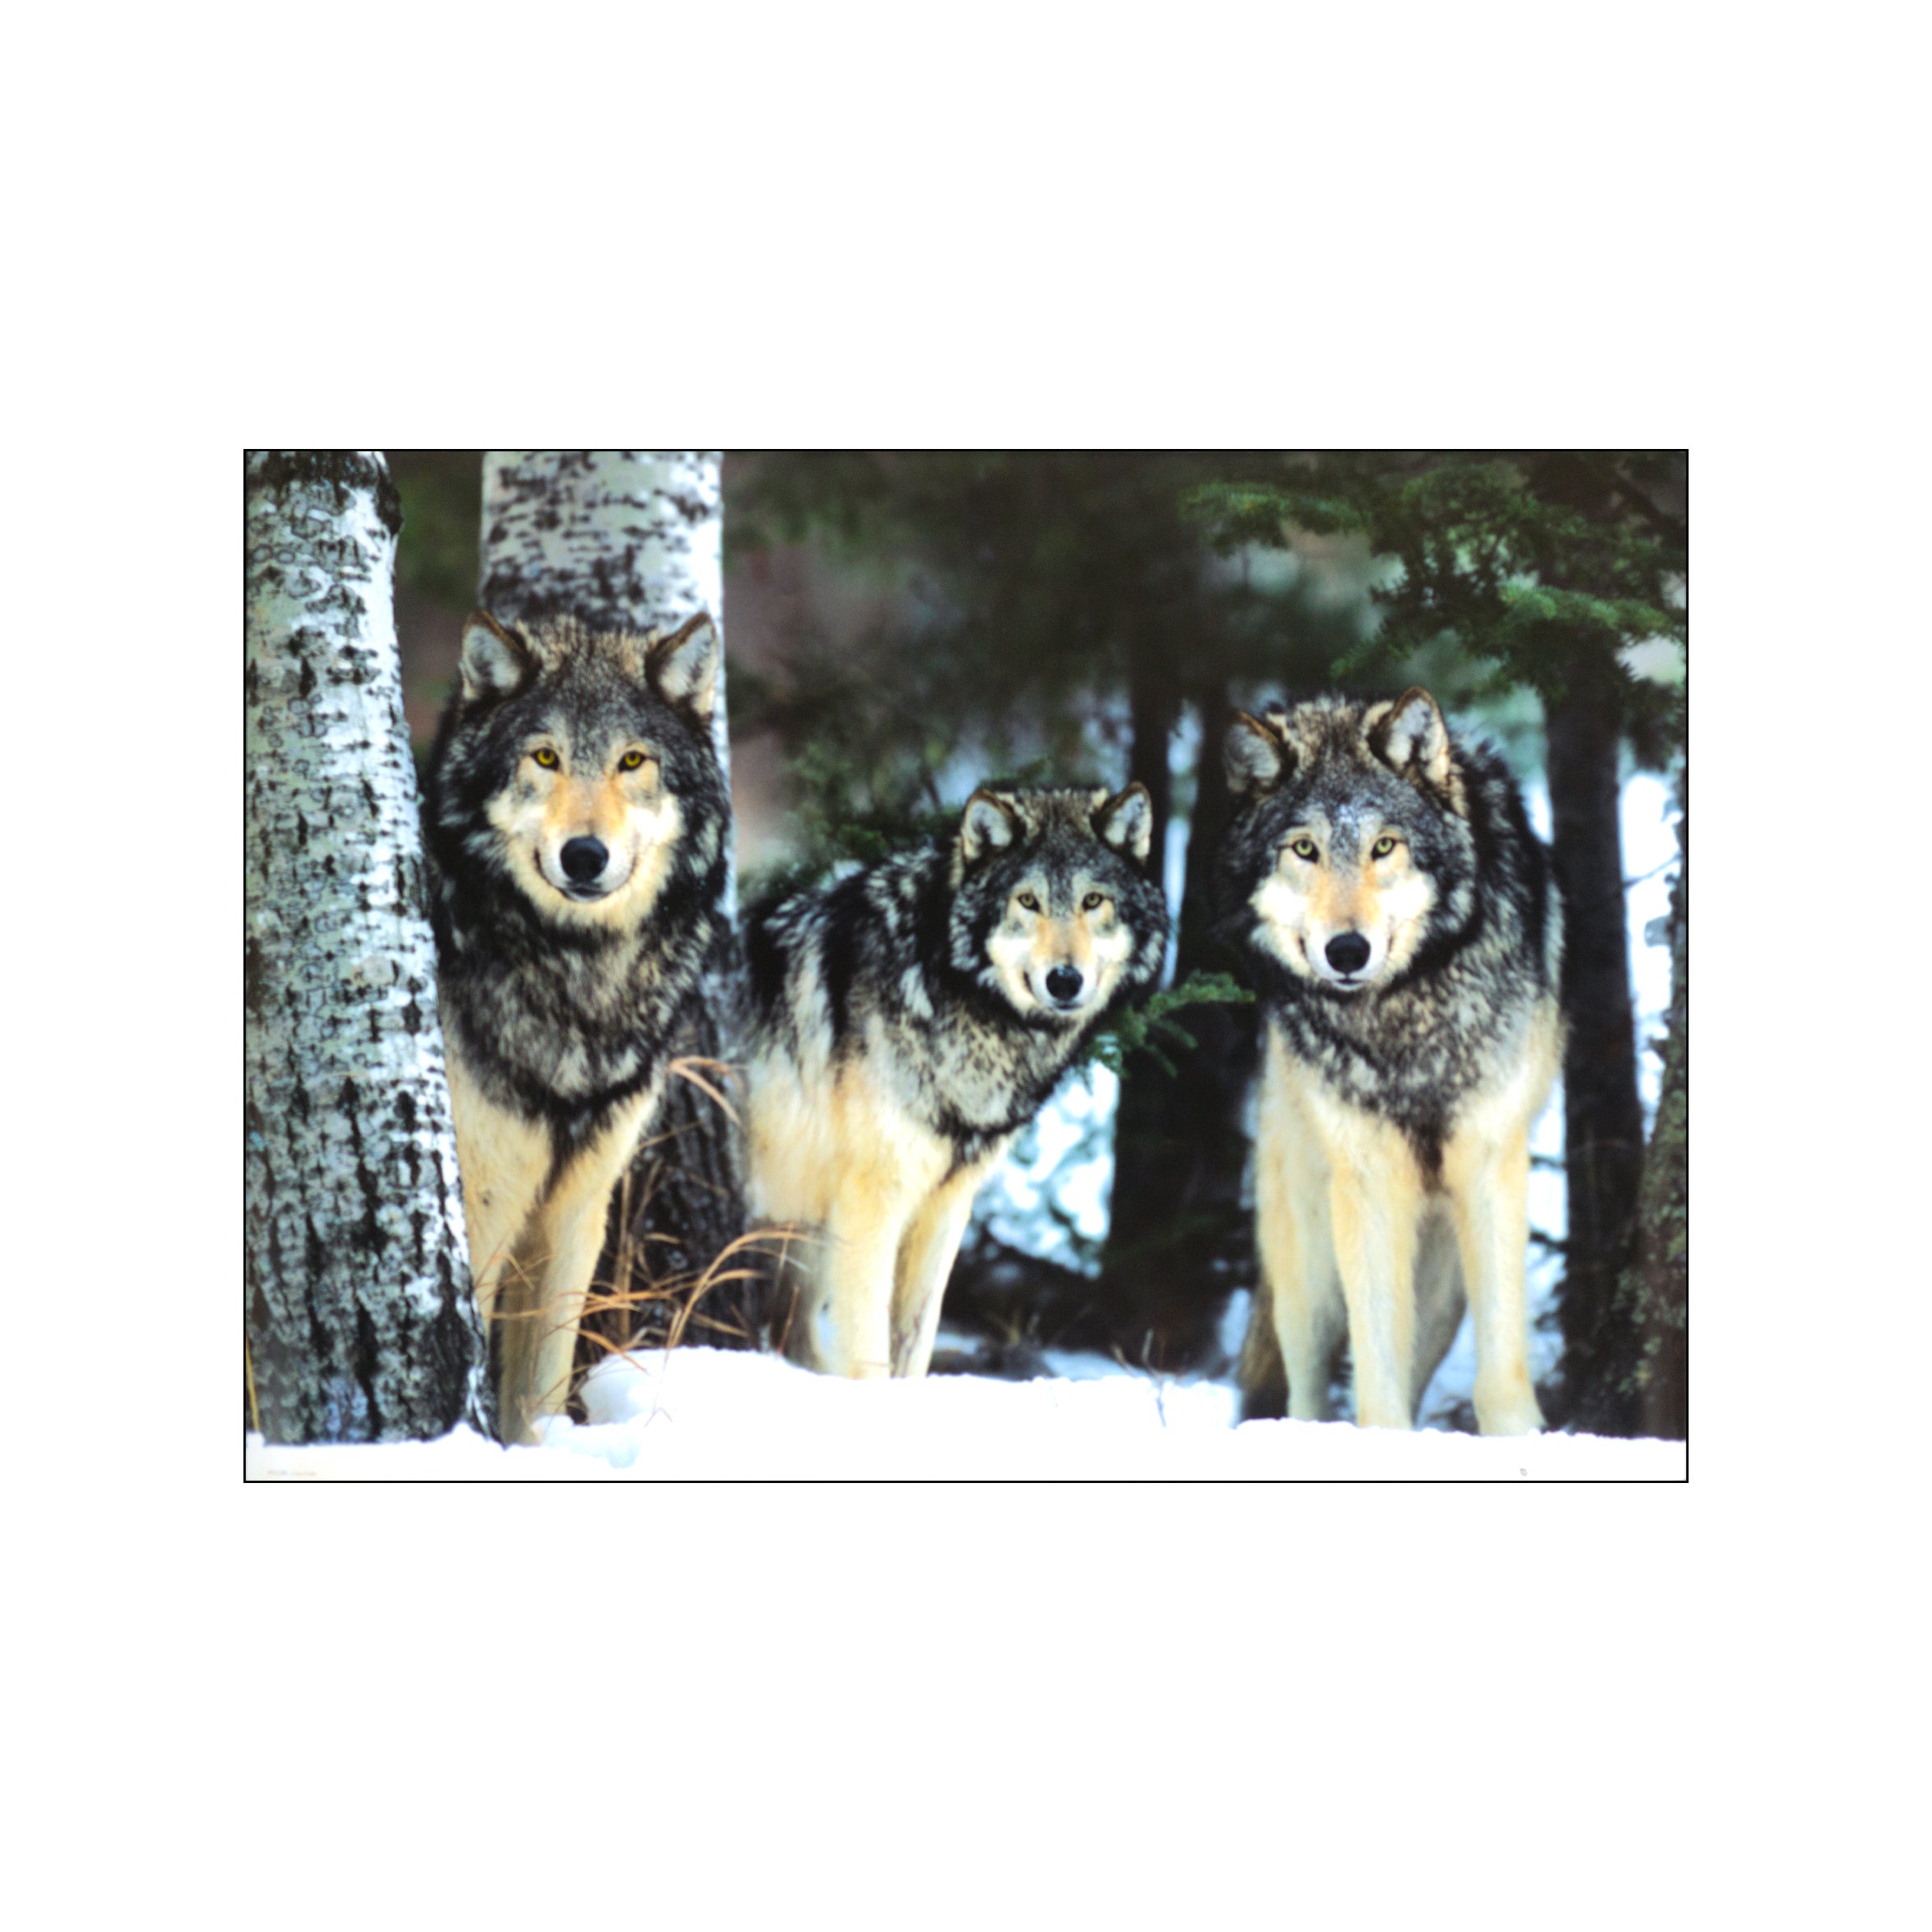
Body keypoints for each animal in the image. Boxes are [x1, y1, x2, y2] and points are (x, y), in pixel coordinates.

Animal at [421, 608, 728, 1443]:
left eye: (632, 761)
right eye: (546, 756)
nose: (584, 855)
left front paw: (538, 1453)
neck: (575, 981)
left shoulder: (574, 1210)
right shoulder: (485, 1202)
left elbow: (541, 1389)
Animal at [744, 784, 1168, 1379]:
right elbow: (869, 1351)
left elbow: (915, 1341)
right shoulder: (872, 1200)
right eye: (1028, 901)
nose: (1065, 980)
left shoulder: (945, 1206)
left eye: (1092, 901)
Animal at [1216, 689, 1562, 1435]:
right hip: (1311, 1257)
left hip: (1441, 1287)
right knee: (1307, 1382)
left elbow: (1501, 1362)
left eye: (1384, 846)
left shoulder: (1491, 1163)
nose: (1347, 951)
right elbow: (1376, 1363)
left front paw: (1520, 1437)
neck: (1403, 1016)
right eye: (1306, 849)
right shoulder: (1369, 1179)